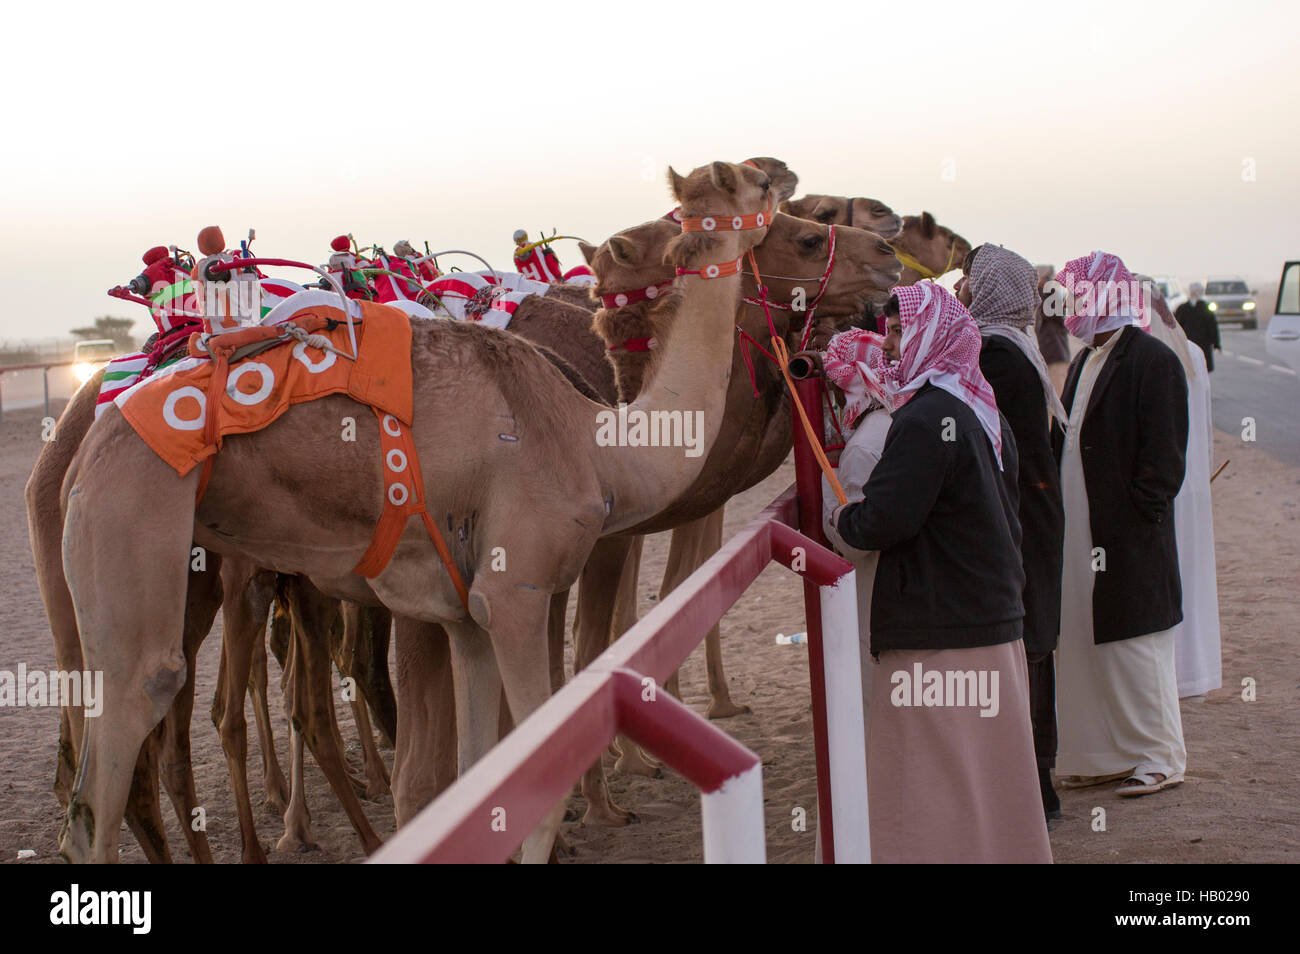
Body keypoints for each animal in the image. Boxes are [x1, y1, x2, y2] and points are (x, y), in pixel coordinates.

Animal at [57, 159, 774, 863]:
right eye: (754, 183)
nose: (782, 175)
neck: (600, 445)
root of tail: (85, 450)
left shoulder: (466, 617)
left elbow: (480, 788)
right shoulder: (516, 591)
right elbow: (533, 798)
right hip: (133, 519)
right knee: (124, 734)